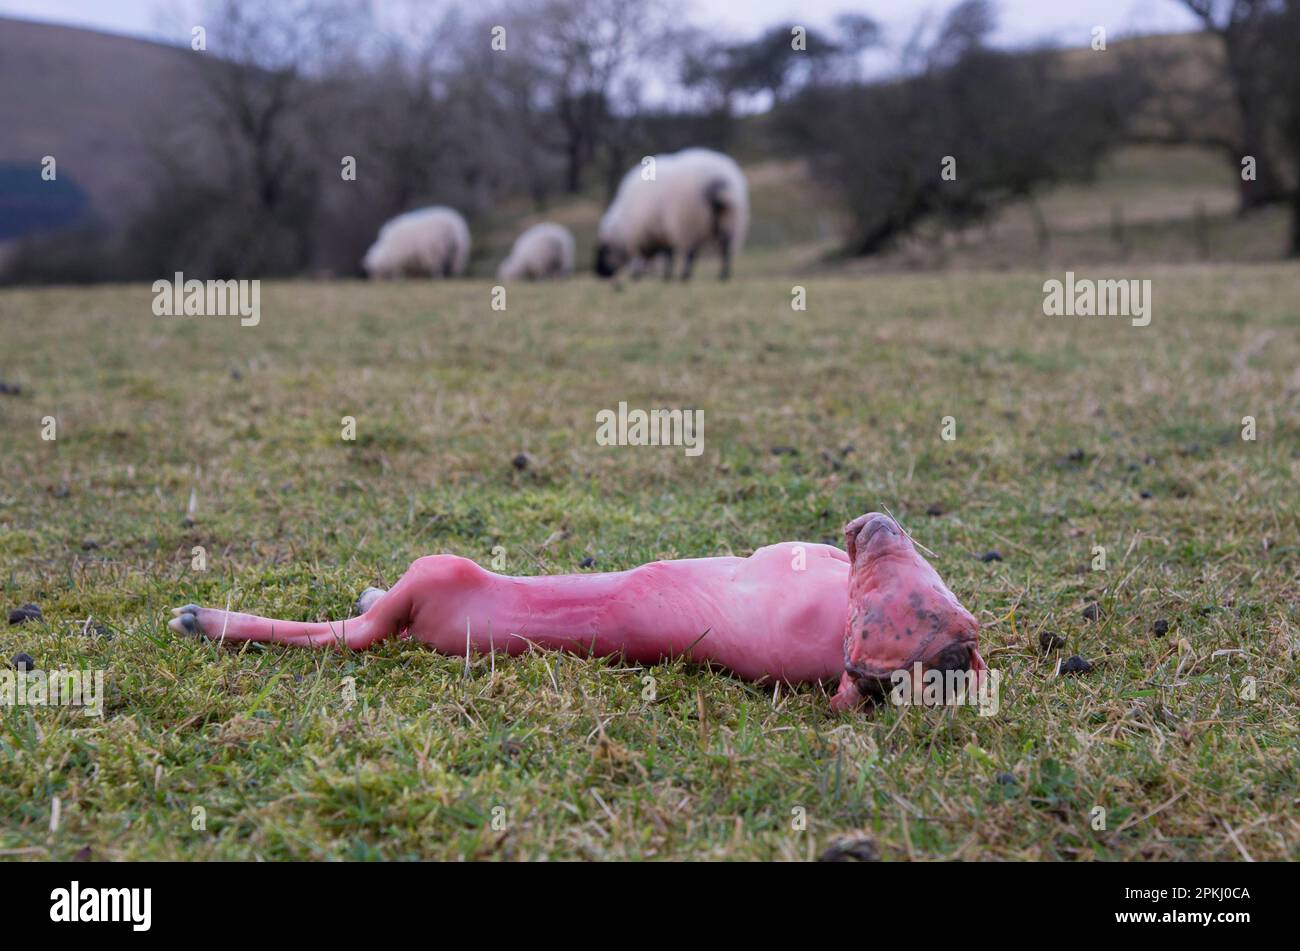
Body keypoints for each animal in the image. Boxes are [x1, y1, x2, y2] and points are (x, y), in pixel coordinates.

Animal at [595, 148, 749, 281]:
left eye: (604, 250)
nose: (599, 273)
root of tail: (717, 180)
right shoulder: (661, 231)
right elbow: (667, 253)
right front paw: (664, 275)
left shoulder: (644, 235)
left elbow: (659, 254)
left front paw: (645, 275)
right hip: (730, 220)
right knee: (726, 249)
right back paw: (723, 275)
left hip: (688, 222)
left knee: (690, 252)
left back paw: (685, 276)